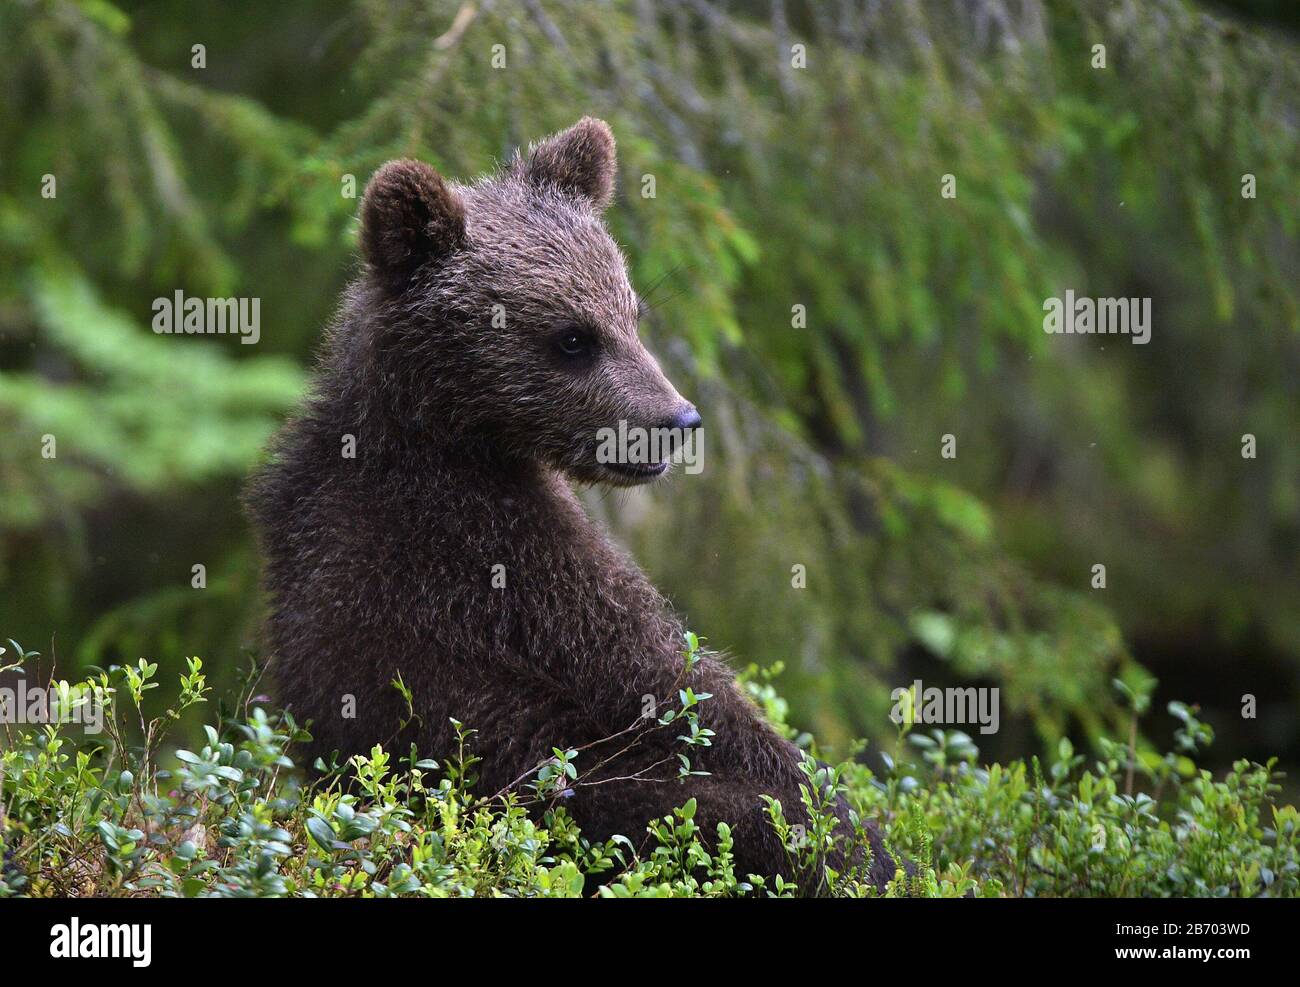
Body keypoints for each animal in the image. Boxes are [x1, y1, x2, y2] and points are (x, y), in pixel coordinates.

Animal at [246, 117, 900, 894]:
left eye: (632, 312)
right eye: (571, 337)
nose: (677, 420)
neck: (438, 438)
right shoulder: (505, 563)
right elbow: (679, 690)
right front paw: (862, 840)